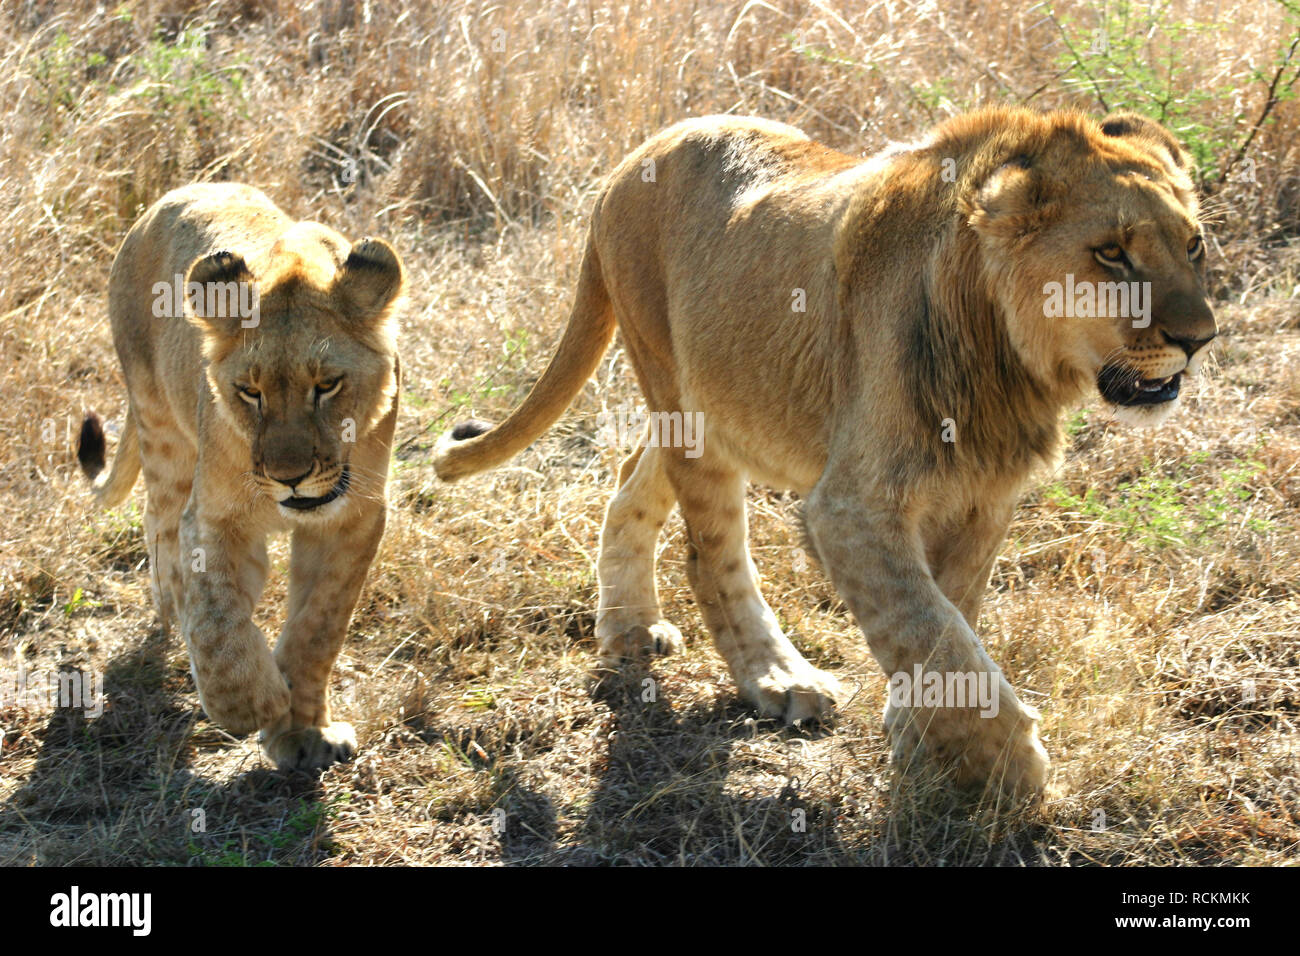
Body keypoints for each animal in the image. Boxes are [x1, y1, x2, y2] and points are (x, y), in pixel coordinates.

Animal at [77, 183, 405, 770]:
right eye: (250, 393)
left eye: (327, 385)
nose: (290, 477)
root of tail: (175, 194)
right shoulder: (211, 516)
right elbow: (215, 615)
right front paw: (253, 702)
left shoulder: (355, 518)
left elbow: (319, 628)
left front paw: (303, 731)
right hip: (161, 430)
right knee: (159, 524)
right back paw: (172, 613)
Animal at [433, 107, 1216, 800]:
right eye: (1111, 253)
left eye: (1194, 246)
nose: (1200, 338)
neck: (1011, 363)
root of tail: (629, 164)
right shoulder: (851, 506)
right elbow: (929, 626)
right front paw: (1008, 773)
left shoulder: (984, 494)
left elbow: (948, 614)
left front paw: (918, 739)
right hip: (678, 389)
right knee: (711, 555)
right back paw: (779, 679)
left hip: (711, 406)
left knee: (630, 483)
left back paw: (629, 631)